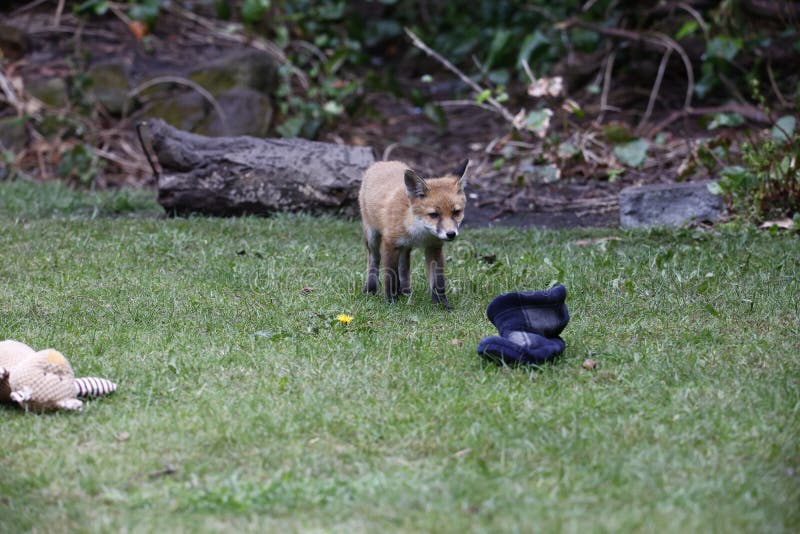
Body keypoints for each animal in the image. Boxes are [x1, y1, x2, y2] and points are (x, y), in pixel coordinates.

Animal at [359, 159, 468, 309]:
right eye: (434, 215)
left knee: (403, 267)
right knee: (374, 260)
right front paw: (390, 301)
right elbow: (390, 276)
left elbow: (438, 282)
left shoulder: (434, 247)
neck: (419, 232)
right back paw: (371, 290)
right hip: (372, 238)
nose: (451, 234)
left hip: (405, 248)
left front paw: (442, 305)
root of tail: (383, 162)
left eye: (456, 212)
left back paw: (405, 292)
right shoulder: (389, 243)